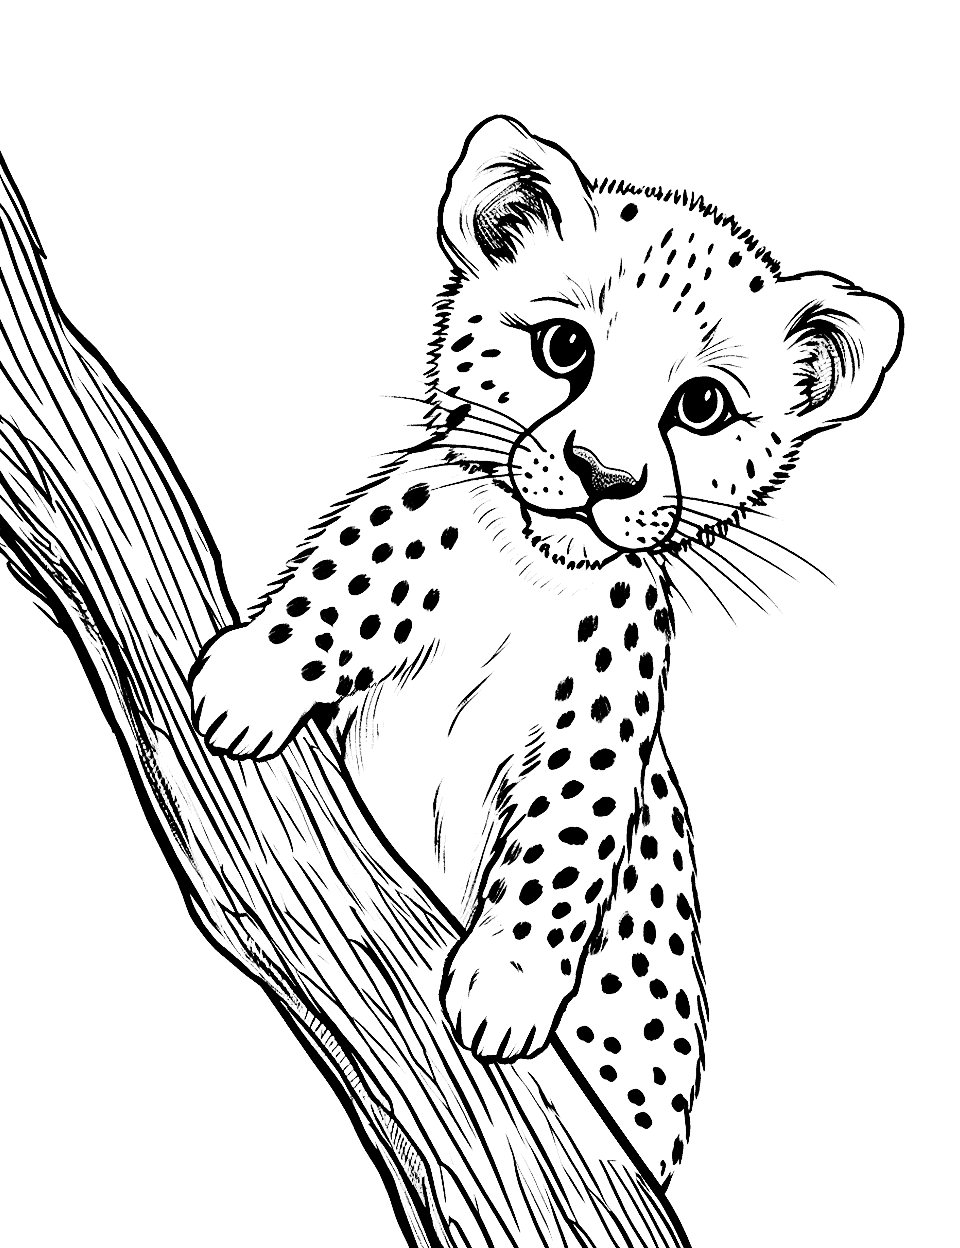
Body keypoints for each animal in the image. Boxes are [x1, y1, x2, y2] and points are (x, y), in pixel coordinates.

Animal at [188, 115, 902, 1184]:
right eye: (565, 347)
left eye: (701, 406)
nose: (602, 474)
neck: (529, 575)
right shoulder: (398, 524)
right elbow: (345, 586)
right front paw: (256, 674)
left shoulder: (592, 747)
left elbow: (558, 854)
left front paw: (508, 982)